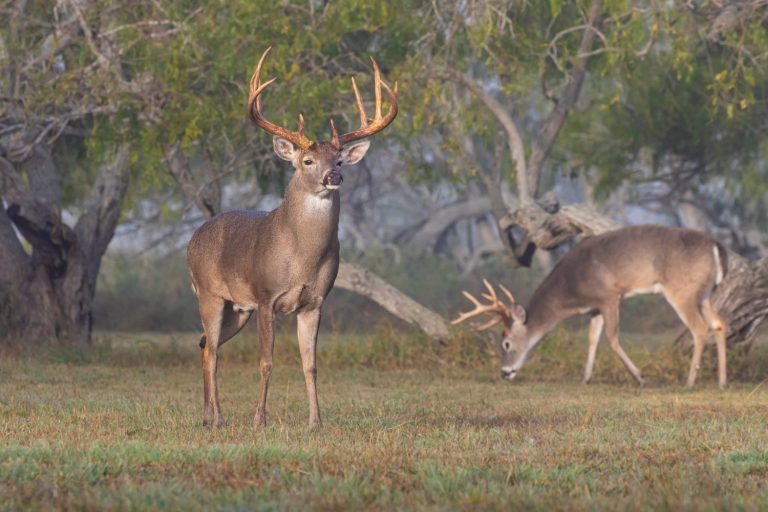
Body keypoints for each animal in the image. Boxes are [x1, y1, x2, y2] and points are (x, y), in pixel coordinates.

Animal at [186, 47, 397, 429]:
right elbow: (266, 361)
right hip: (209, 293)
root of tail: (192, 240)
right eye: (308, 160)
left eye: (339, 159)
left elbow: (310, 365)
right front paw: (259, 420)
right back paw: (219, 418)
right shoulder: (265, 296)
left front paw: (316, 421)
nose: (334, 176)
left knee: (206, 346)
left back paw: (209, 417)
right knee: (211, 351)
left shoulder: (314, 302)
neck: (301, 258)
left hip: (237, 308)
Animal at [452, 225, 730, 388]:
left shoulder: (610, 294)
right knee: (719, 324)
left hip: (681, 290)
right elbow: (592, 338)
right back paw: (722, 381)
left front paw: (639, 377)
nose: (504, 372)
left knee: (699, 328)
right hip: (704, 293)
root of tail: (717, 246)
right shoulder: (595, 307)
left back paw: (690, 381)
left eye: (507, 343)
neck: (572, 289)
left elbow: (612, 337)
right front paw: (585, 378)